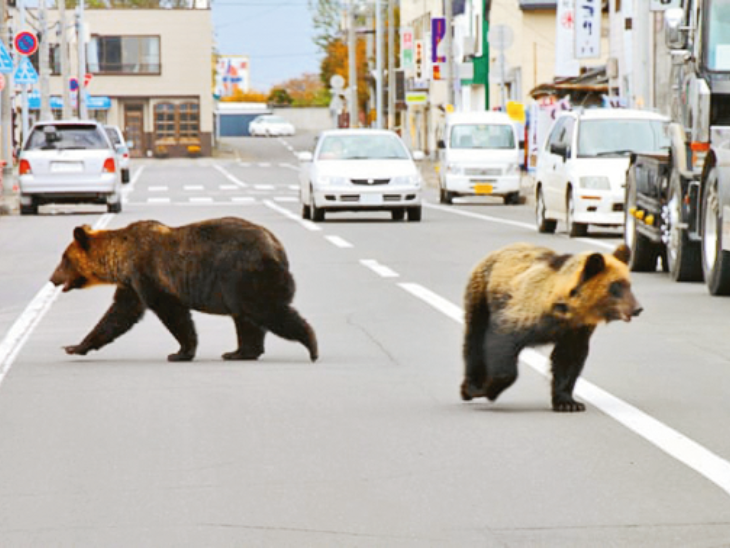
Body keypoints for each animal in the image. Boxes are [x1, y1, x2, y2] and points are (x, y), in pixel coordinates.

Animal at [50, 217, 318, 363]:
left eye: (64, 259)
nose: (52, 278)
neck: (121, 260)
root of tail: (277, 246)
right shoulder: (132, 285)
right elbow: (118, 316)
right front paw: (75, 346)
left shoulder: (148, 273)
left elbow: (173, 312)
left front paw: (180, 352)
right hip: (239, 284)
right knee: (246, 319)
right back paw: (239, 352)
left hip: (244, 274)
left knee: (266, 310)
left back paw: (311, 345)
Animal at [460, 242, 641, 412]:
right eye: (616, 285)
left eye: (629, 284)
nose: (637, 309)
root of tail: (499, 250)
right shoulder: (523, 312)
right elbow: (502, 343)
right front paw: (488, 389)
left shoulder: (576, 330)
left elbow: (568, 359)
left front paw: (568, 403)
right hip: (482, 295)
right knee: (474, 337)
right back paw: (470, 387)